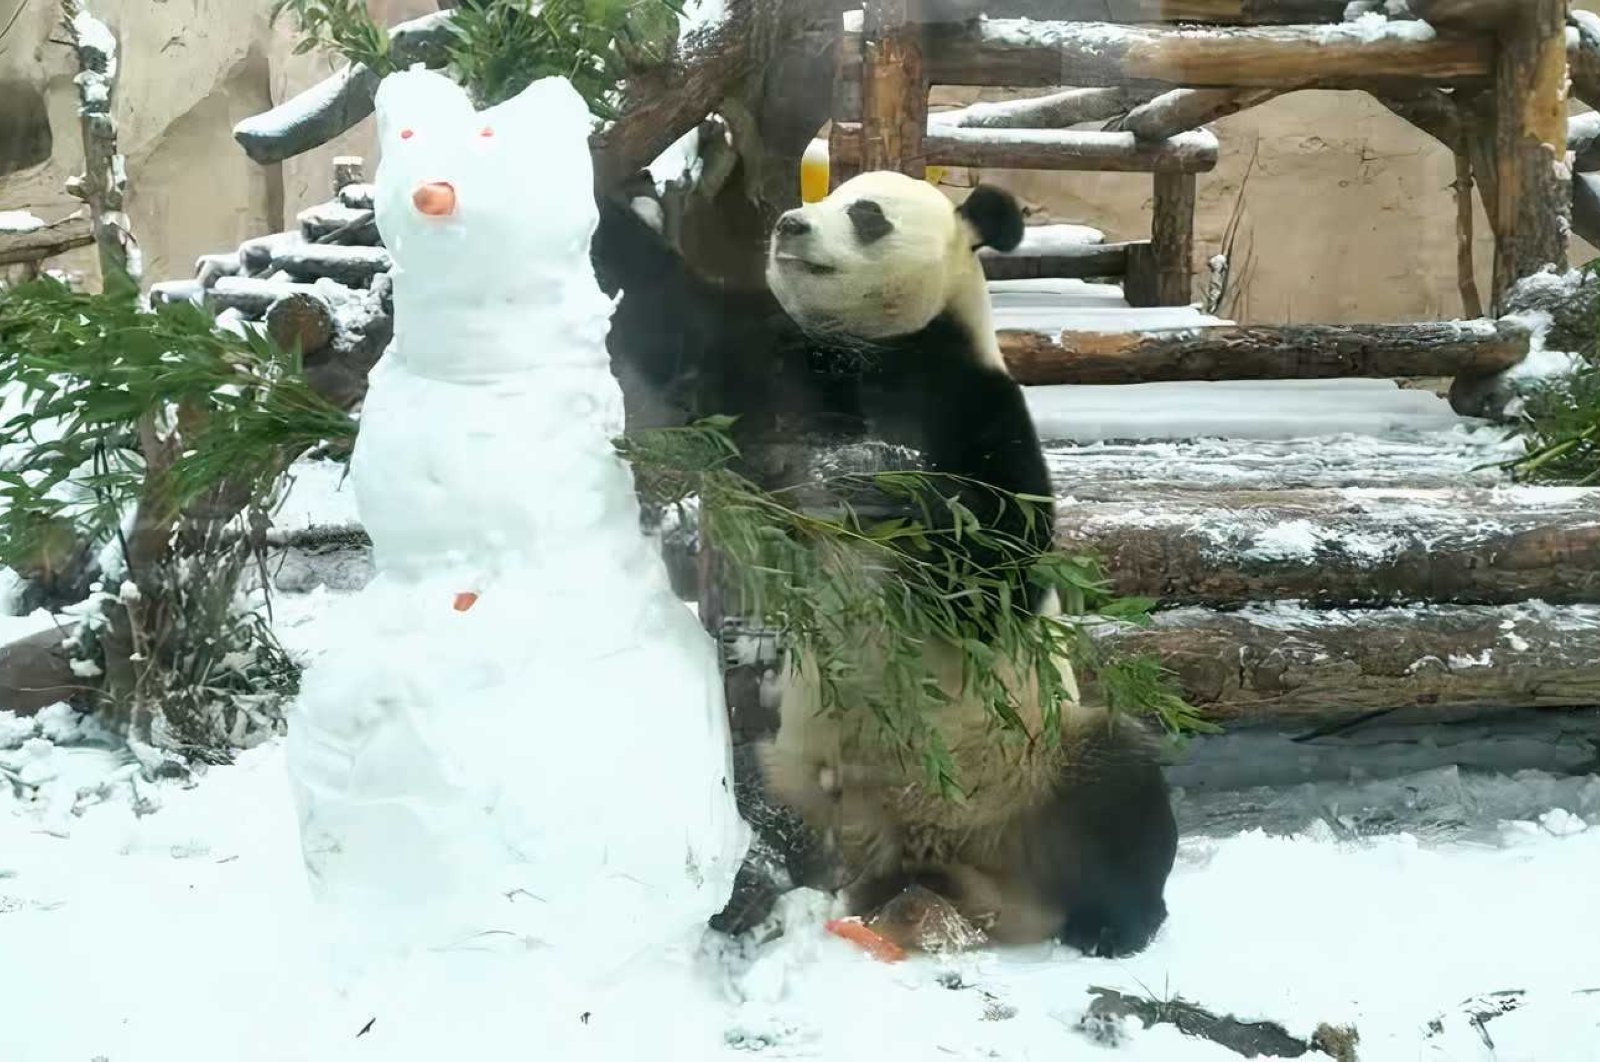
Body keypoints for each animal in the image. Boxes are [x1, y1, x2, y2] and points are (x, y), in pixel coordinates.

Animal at [591, 170, 1178, 958]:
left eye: (865, 215)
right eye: (825, 197)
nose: (790, 225)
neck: (876, 350)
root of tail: (923, 856)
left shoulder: (972, 406)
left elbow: (998, 560)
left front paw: (880, 493)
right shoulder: (774, 366)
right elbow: (673, 322)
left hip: (1040, 758)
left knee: (1125, 783)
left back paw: (1113, 925)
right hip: (796, 774)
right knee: (742, 797)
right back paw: (743, 896)